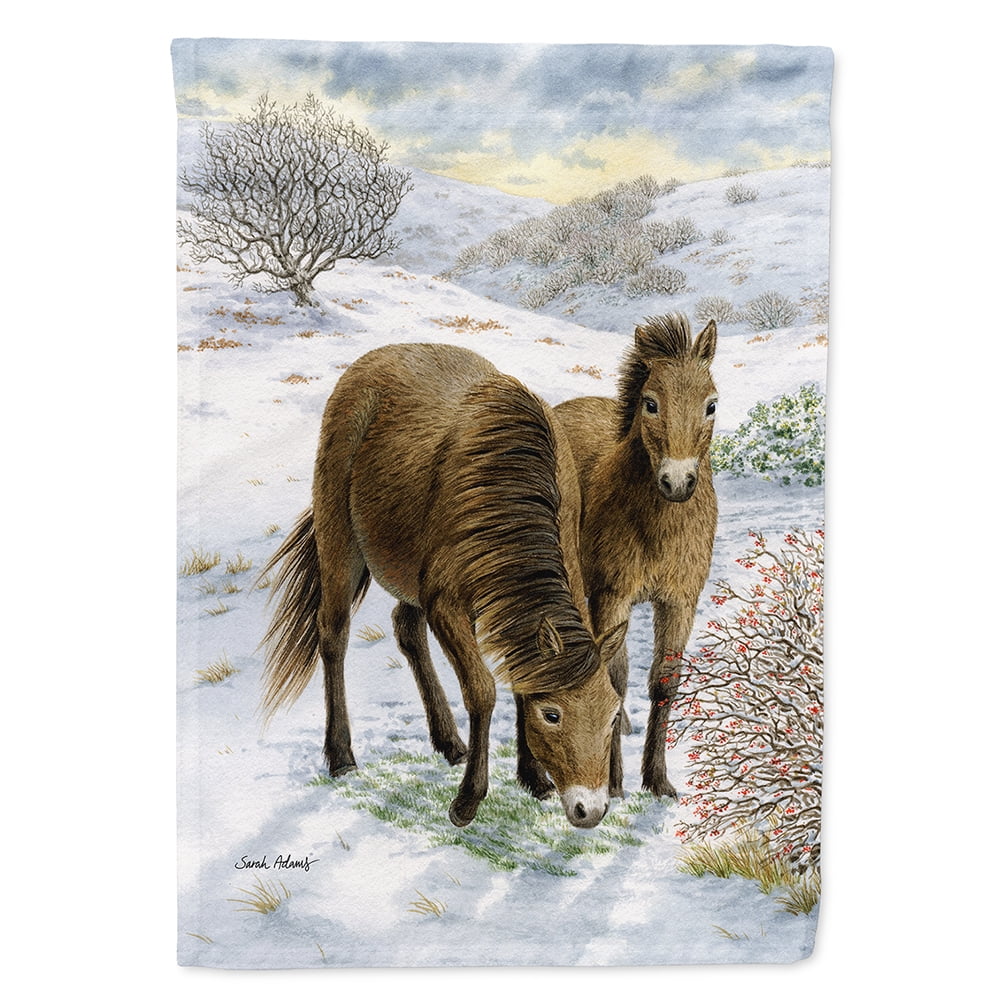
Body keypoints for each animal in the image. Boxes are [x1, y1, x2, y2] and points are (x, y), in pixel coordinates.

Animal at [260, 343, 627, 829]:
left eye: (612, 715)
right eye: (553, 715)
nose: (590, 810)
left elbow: (519, 675)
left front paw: (533, 779)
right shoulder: (445, 605)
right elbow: (483, 691)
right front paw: (468, 800)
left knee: (405, 628)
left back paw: (450, 743)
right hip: (339, 541)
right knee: (333, 633)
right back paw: (341, 756)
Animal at [552, 314, 718, 799]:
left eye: (711, 405)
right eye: (651, 403)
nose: (677, 483)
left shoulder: (680, 602)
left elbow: (664, 682)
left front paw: (658, 780)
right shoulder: (612, 596)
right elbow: (612, 676)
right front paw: (613, 783)